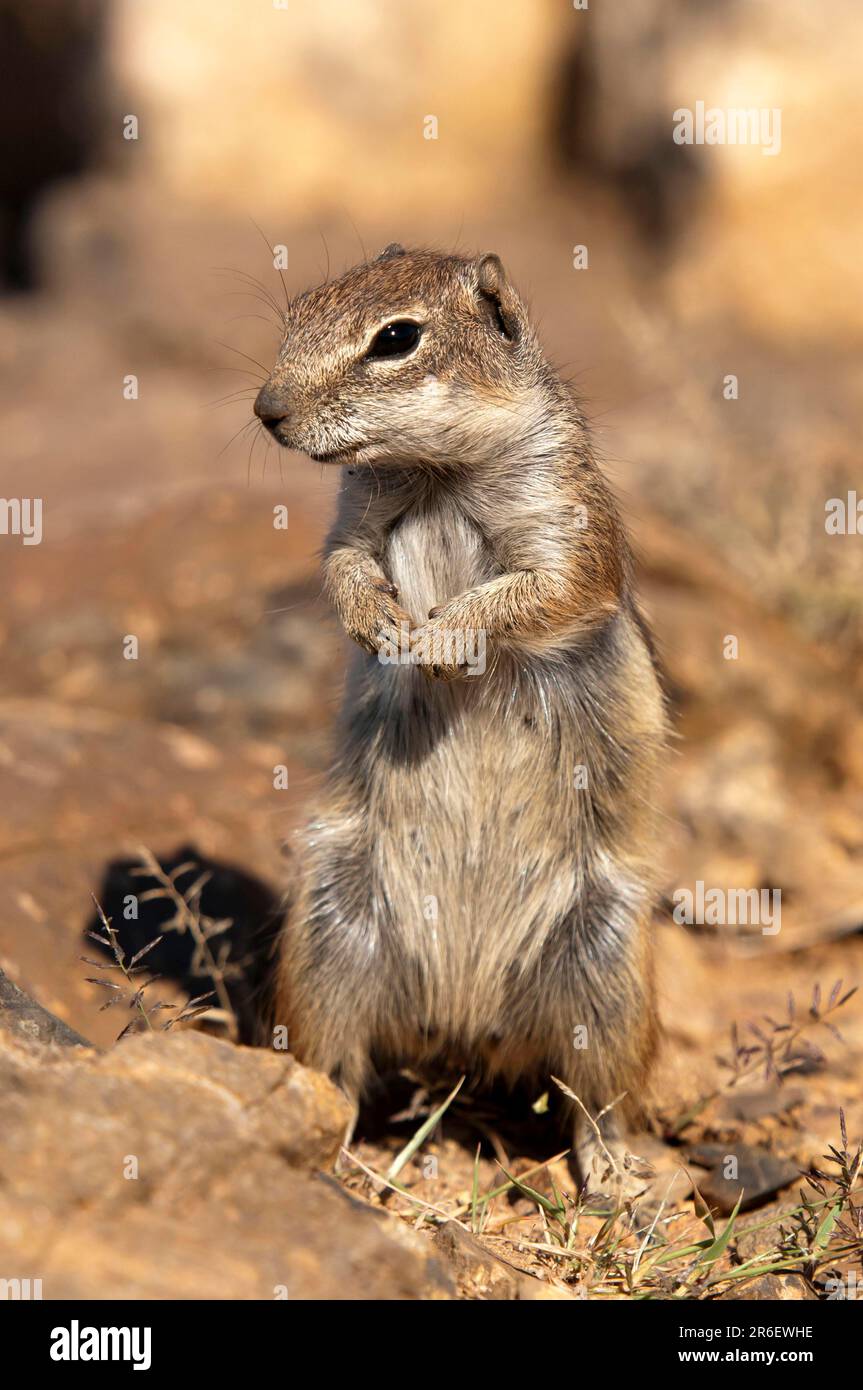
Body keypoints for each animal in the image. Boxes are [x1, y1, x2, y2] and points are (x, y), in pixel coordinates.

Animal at [254, 245, 668, 1195]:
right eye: (299, 311)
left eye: (395, 340)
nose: (266, 411)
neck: (436, 473)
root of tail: (462, 1024)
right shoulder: (354, 521)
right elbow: (342, 566)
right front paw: (380, 624)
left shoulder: (566, 525)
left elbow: (541, 591)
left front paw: (444, 638)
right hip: (327, 934)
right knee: (334, 1062)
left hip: (607, 963)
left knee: (595, 1100)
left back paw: (617, 1181)